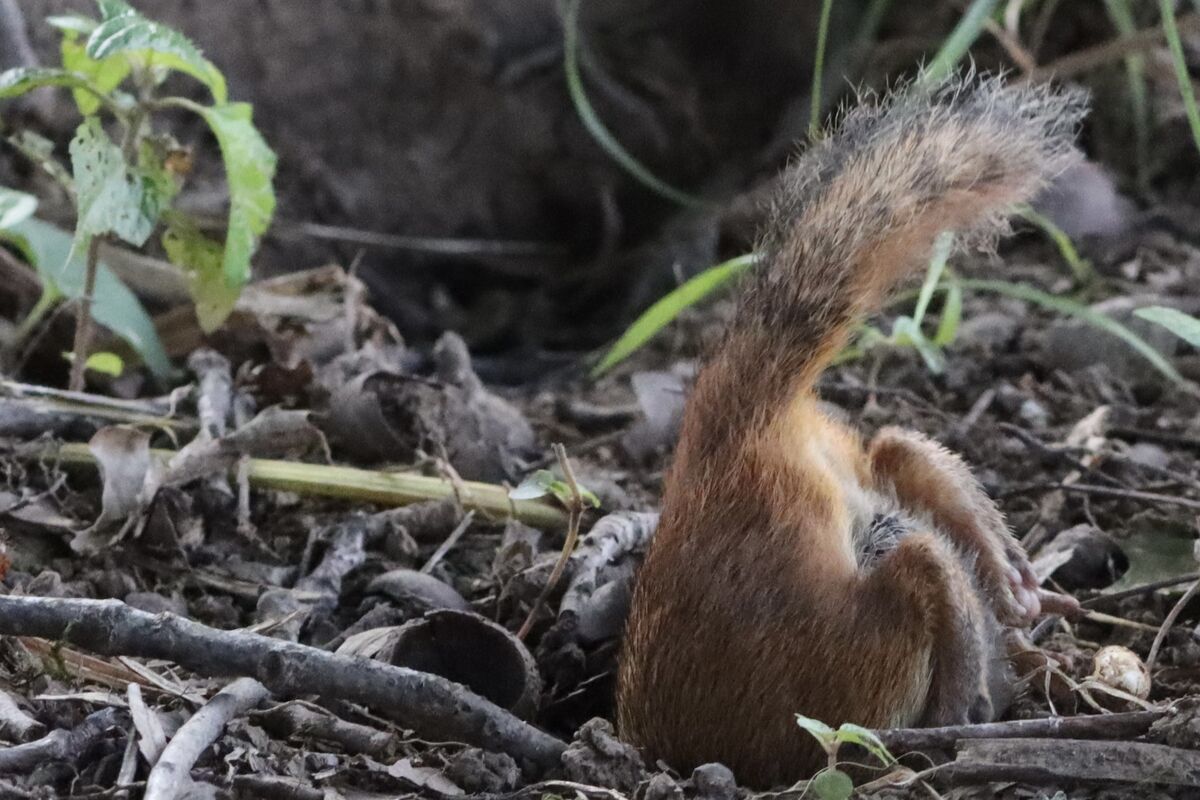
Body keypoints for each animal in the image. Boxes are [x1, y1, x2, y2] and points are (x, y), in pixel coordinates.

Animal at [615, 75, 1087, 788]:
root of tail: (725, 433)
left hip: (853, 645)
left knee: (921, 564)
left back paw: (966, 689)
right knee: (905, 460)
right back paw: (1013, 593)